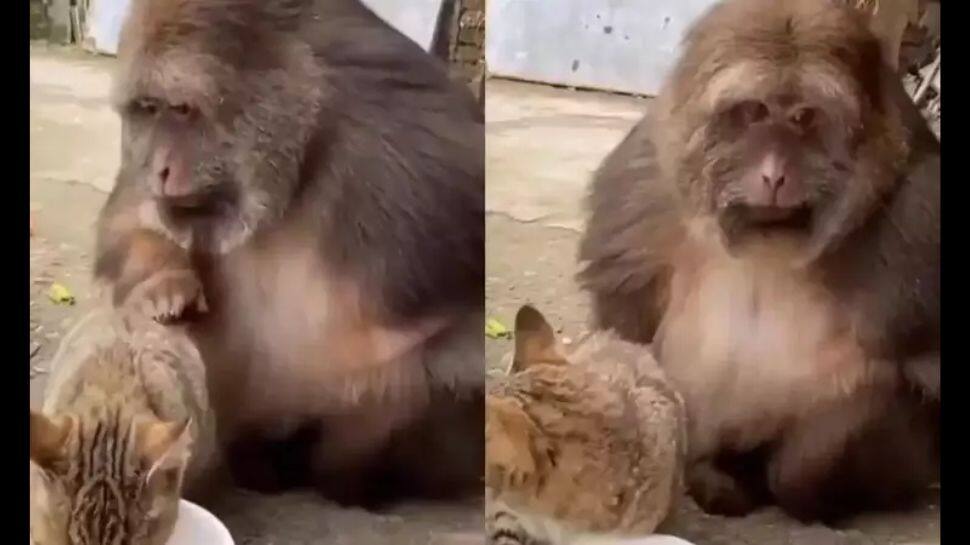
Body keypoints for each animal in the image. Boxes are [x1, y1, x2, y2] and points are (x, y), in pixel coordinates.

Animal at [93, 0, 484, 506]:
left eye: (182, 110)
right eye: (148, 110)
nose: (159, 168)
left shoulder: (416, 158)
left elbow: (435, 321)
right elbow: (131, 220)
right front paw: (162, 280)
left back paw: (349, 479)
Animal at [577, 0, 939, 523]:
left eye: (805, 117)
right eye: (753, 112)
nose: (773, 175)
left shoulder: (920, 217)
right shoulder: (643, 178)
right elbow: (625, 316)